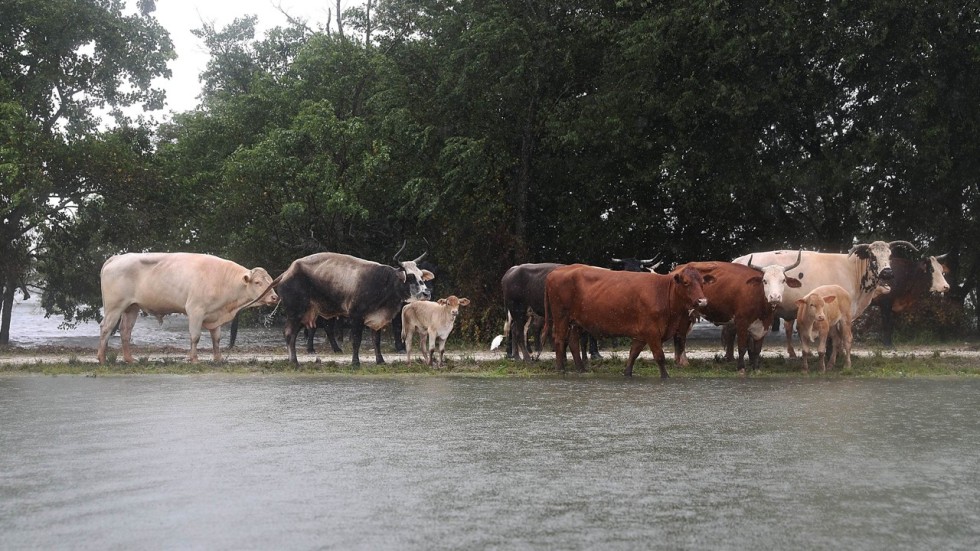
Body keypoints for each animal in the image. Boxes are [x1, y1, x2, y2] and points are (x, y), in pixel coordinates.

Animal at [96, 253, 279, 364]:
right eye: (258, 282)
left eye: (271, 280)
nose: (274, 297)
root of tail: (117, 258)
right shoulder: (195, 310)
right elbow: (195, 336)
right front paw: (194, 359)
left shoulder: (215, 314)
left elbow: (216, 339)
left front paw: (218, 358)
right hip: (114, 306)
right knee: (106, 328)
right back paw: (102, 358)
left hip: (131, 307)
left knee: (125, 331)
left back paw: (129, 359)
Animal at [273, 250, 434, 366]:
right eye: (411, 277)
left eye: (421, 276)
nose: (427, 293)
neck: (384, 282)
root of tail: (286, 273)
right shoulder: (356, 316)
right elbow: (356, 340)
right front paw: (355, 362)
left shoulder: (376, 319)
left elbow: (376, 340)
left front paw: (380, 361)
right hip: (296, 312)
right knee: (289, 333)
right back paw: (294, 362)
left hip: (305, 314)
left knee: (296, 334)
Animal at [544, 264, 709, 378]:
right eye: (686, 283)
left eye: (702, 282)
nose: (702, 301)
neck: (663, 292)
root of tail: (559, 270)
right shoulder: (652, 331)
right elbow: (659, 356)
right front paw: (665, 376)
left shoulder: (642, 333)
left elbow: (633, 353)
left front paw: (627, 372)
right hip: (561, 317)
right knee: (559, 340)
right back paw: (560, 369)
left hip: (576, 322)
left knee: (573, 342)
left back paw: (581, 369)